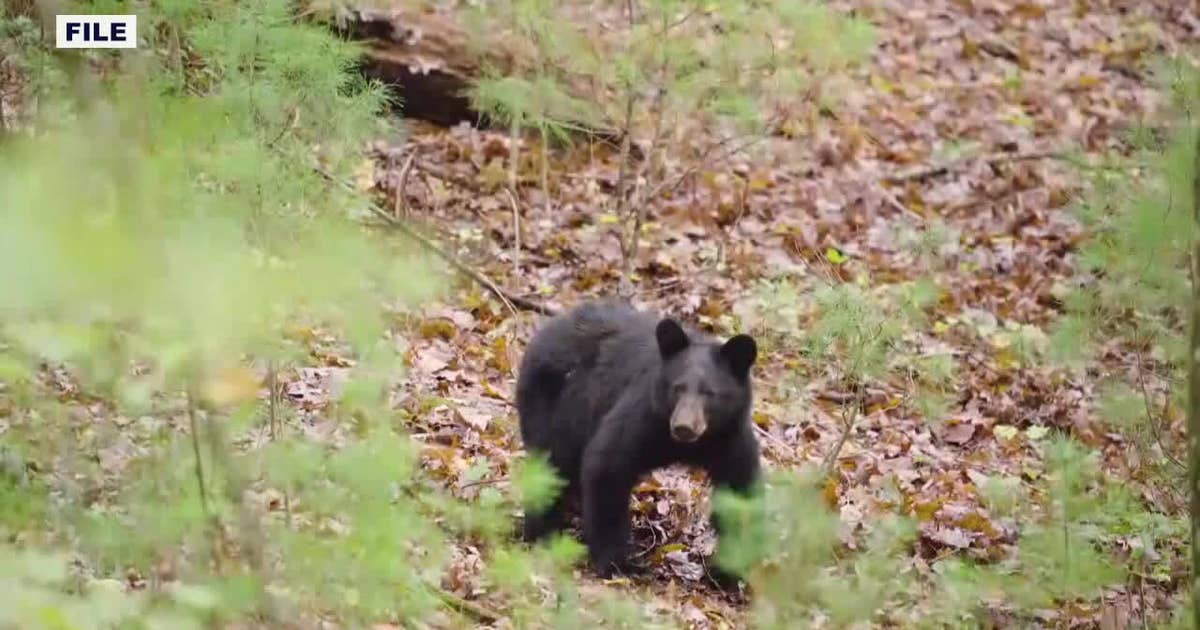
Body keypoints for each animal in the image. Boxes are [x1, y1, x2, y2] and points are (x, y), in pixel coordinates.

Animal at [515, 299, 761, 585]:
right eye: (678, 388)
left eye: (709, 393)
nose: (684, 427)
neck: (689, 445)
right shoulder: (646, 415)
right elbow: (608, 464)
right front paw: (617, 562)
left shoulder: (731, 438)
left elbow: (740, 496)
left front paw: (728, 573)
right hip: (552, 404)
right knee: (549, 466)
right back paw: (542, 533)